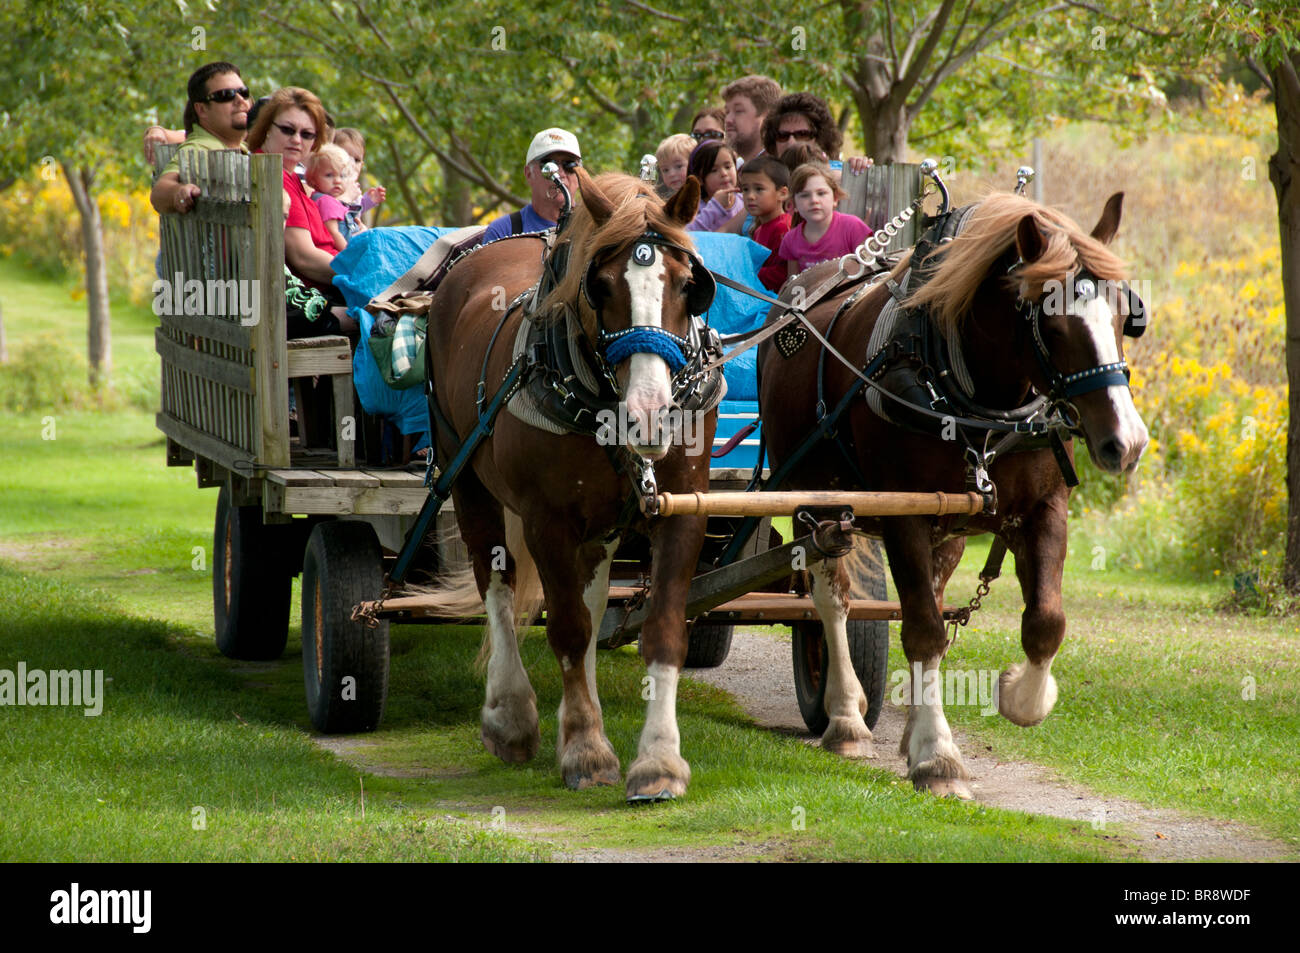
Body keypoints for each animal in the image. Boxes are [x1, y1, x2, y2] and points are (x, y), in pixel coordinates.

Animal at [422, 170, 722, 801]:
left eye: (690, 286)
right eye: (601, 287)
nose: (650, 416)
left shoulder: (684, 510)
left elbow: (659, 631)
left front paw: (658, 760)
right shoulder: (547, 521)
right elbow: (564, 629)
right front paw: (585, 749)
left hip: (600, 527)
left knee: (589, 600)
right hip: (466, 478)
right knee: (498, 586)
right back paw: (510, 715)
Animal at [757, 191, 1148, 798]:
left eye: (1123, 318)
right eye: (1054, 327)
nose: (1125, 443)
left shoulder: (1042, 510)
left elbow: (1044, 622)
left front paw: (1017, 695)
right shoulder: (904, 515)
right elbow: (921, 630)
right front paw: (937, 757)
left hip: (943, 531)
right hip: (810, 503)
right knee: (833, 601)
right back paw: (845, 718)